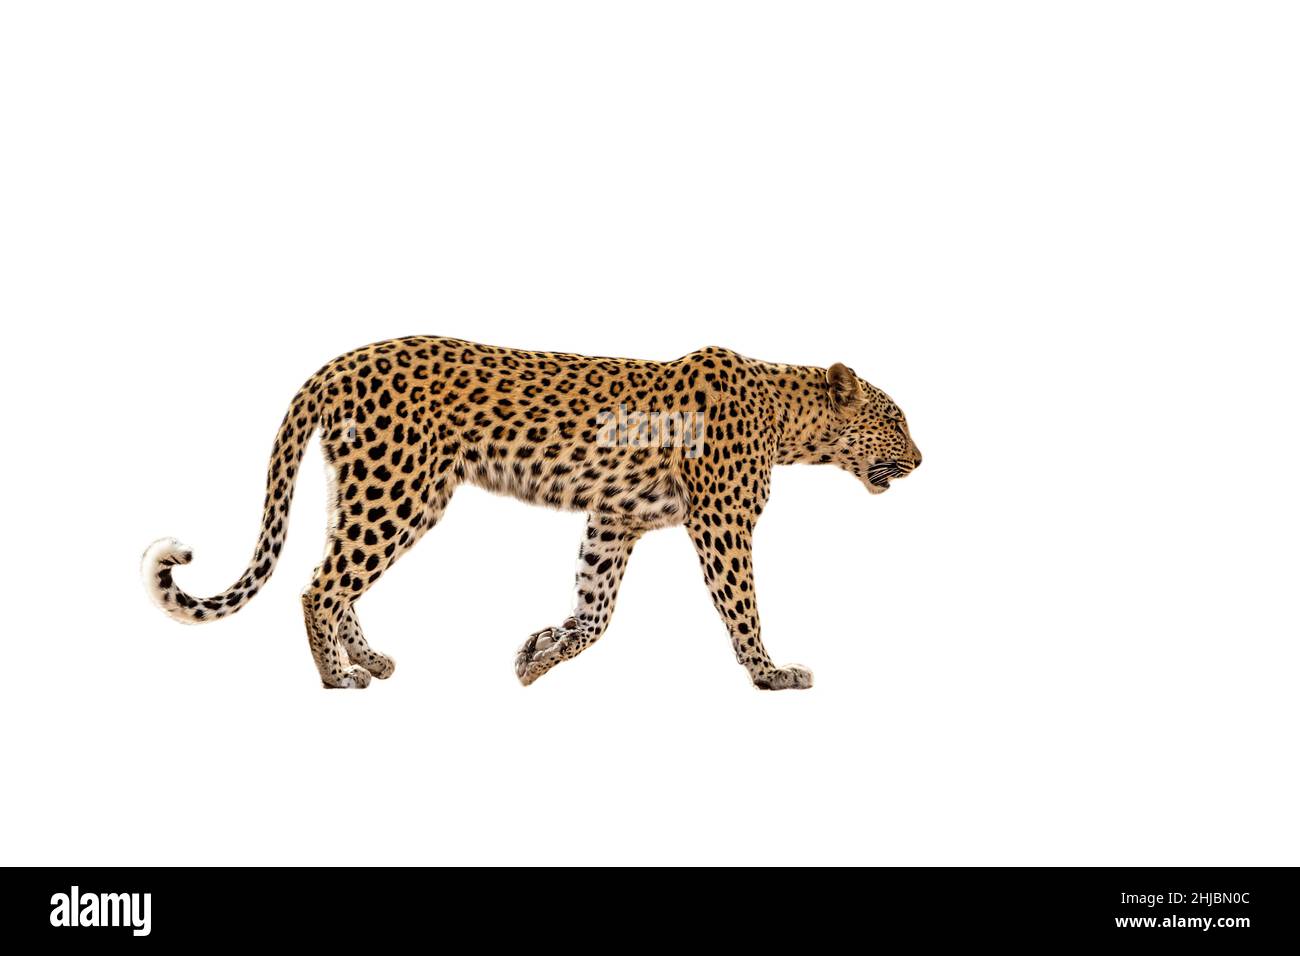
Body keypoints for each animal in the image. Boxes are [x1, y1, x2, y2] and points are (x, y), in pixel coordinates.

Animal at [142, 336, 921, 690]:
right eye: (896, 420)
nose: (921, 458)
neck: (789, 420)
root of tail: (337, 363)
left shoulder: (615, 519)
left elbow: (595, 610)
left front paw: (538, 654)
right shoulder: (722, 523)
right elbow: (743, 605)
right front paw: (770, 673)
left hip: (366, 488)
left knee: (335, 579)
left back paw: (368, 658)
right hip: (400, 489)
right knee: (321, 585)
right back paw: (338, 678)